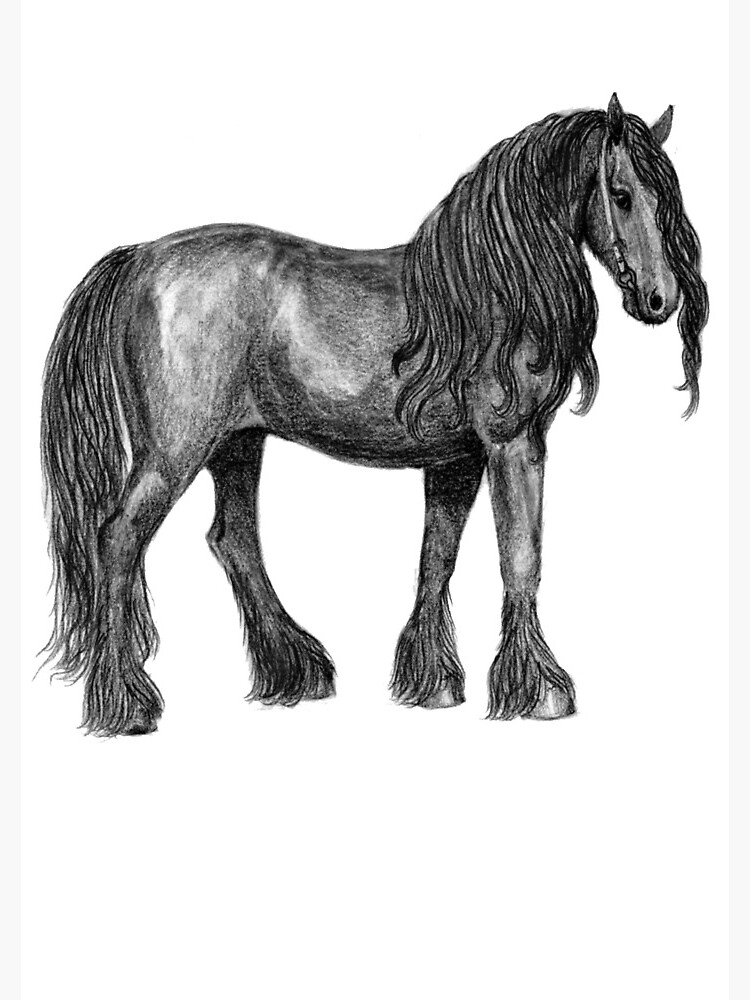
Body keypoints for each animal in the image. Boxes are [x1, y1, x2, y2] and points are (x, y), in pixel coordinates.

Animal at [40, 93, 708, 736]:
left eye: (666, 197)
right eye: (621, 194)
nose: (661, 298)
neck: (487, 292)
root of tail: (139, 260)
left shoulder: (456, 461)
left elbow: (438, 558)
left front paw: (432, 683)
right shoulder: (512, 444)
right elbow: (520, 556)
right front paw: (540, 691)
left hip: (238, 444)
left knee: (233, 540)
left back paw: (295, 671)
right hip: (175, 454)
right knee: (118, 539)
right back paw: (126, 704)